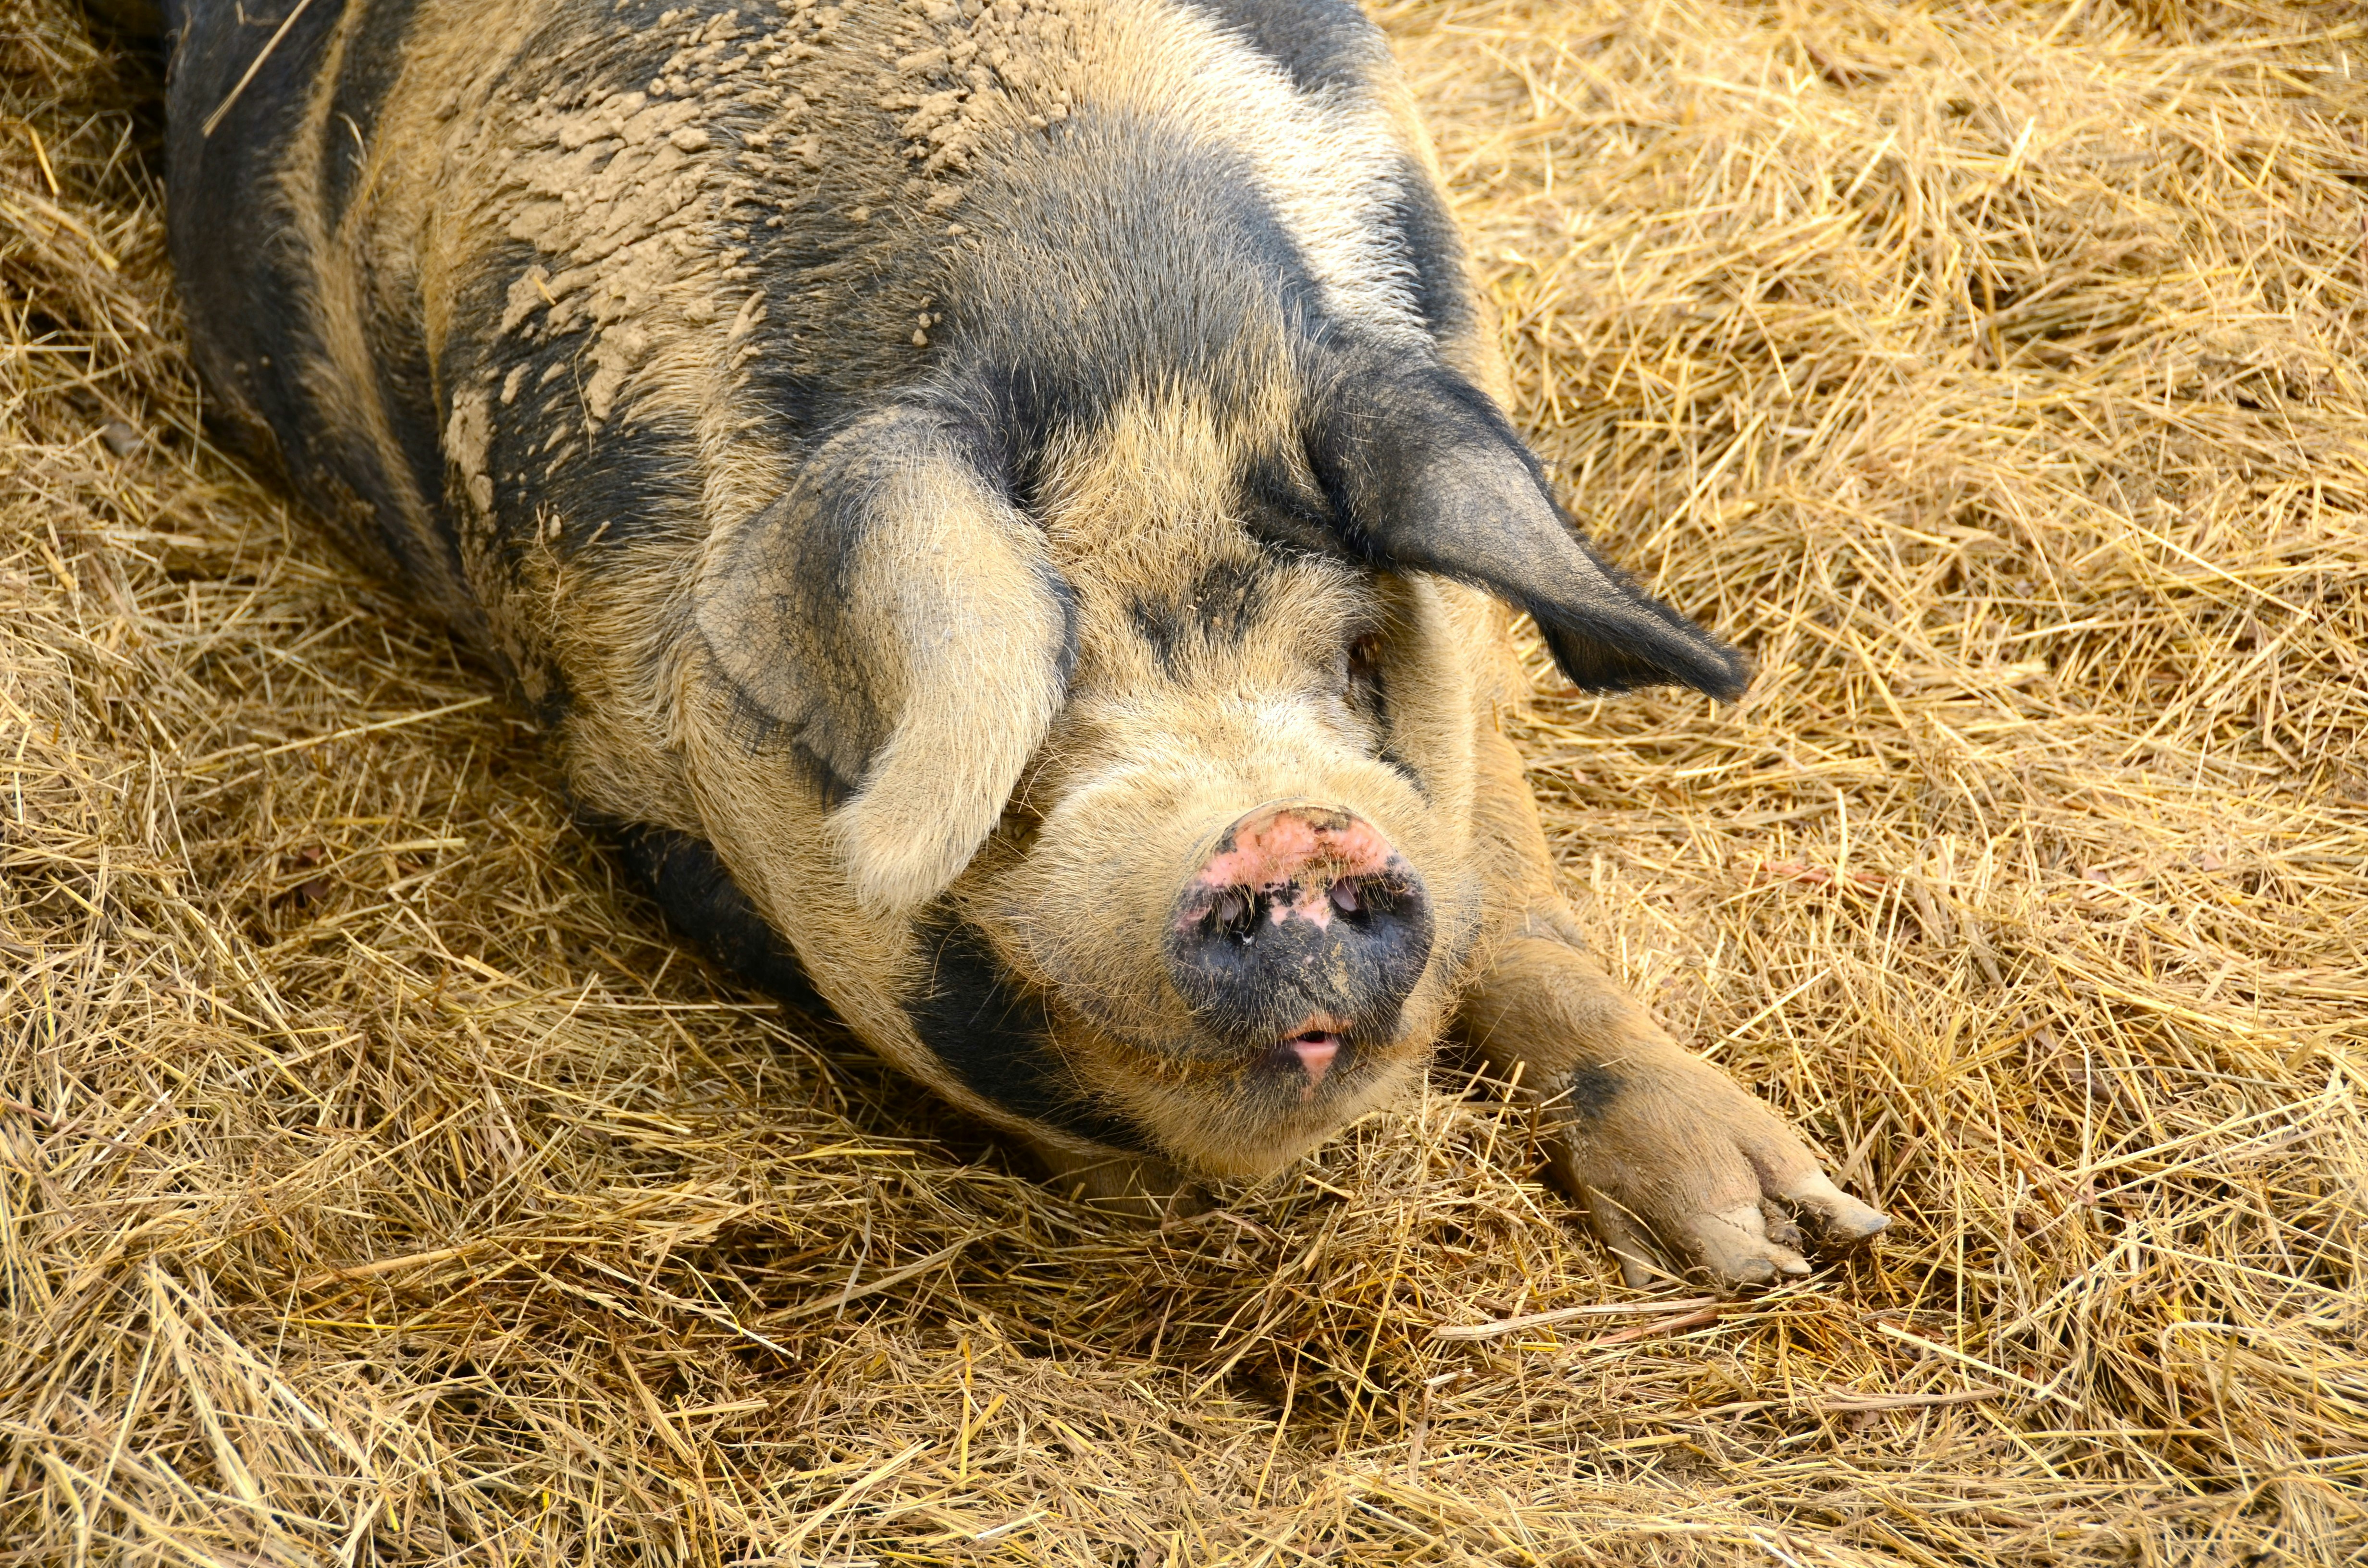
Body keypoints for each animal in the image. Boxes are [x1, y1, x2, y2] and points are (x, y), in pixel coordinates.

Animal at [159, 0, 1888, 1285]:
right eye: (1035, 722)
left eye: (1350, 658)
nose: (1286, 828)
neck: (1115, 308)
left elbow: (1515, 900)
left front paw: (1784, 1242)